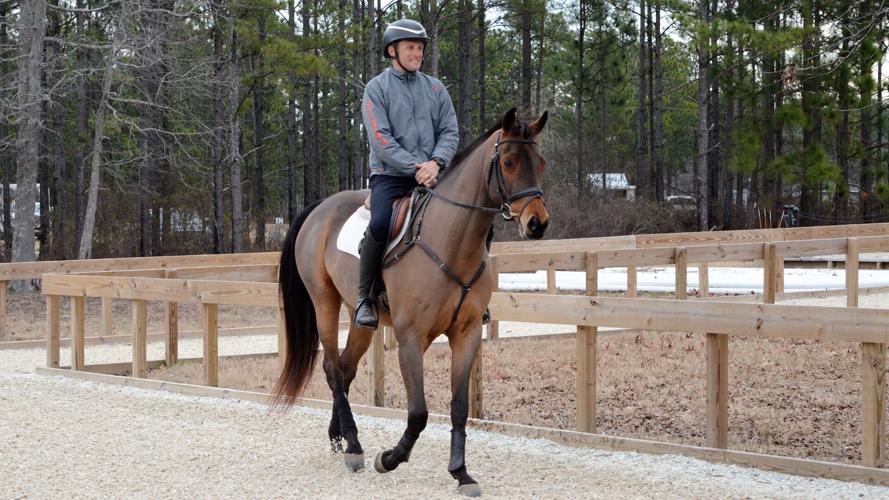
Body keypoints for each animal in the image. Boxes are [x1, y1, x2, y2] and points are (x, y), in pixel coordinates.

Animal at [272, 108, 549, 497]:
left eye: (540, 163)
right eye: (508, 162)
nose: (537, 223)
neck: (451, 240)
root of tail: (319, 208)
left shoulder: (466, 335)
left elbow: (459, 407)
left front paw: (461, 473)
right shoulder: (410, 339)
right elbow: (418, 412)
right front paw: (389, 459)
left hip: (359, 318)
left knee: (345, 368)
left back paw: (340, 438)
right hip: (324, 301)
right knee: (332, 368)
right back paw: (355, 447)